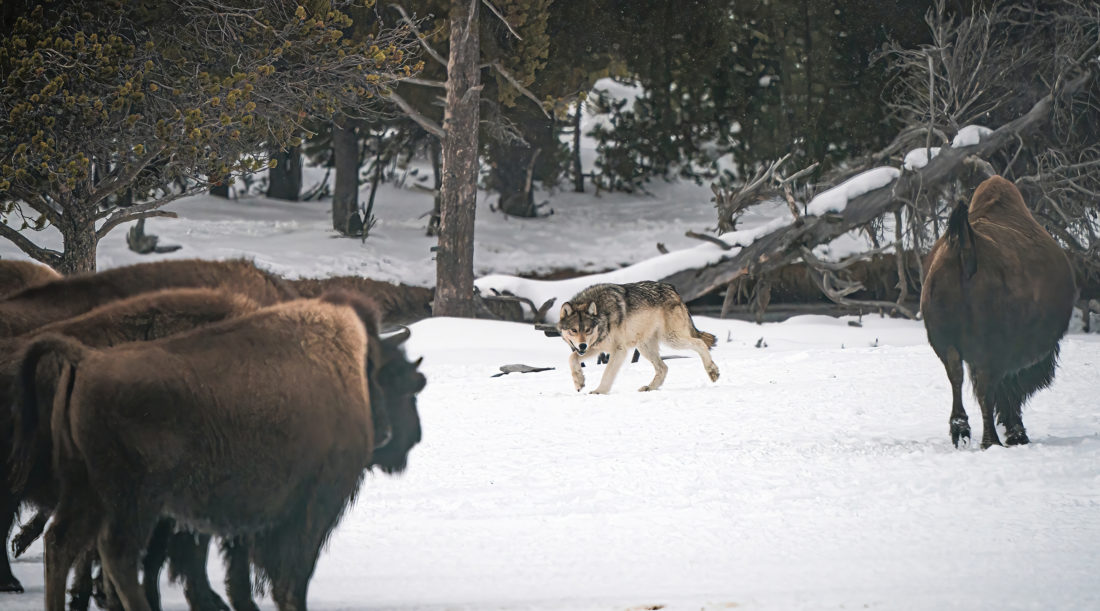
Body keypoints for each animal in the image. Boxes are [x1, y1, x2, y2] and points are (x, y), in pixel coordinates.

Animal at [557, 281, 720, 394]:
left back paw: (712, 371)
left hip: (671, 340)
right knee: (664, 367)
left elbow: (607, 373)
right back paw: (649, 387)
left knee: (699, 343)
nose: (582, 345)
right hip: (644, 347)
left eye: (588, 330)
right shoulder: (596, 347)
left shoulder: (619, 350)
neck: (604, 315)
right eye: (574, 330)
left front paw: (599, 391)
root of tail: (673, 289)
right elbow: (572, 358)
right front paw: (579, 382)